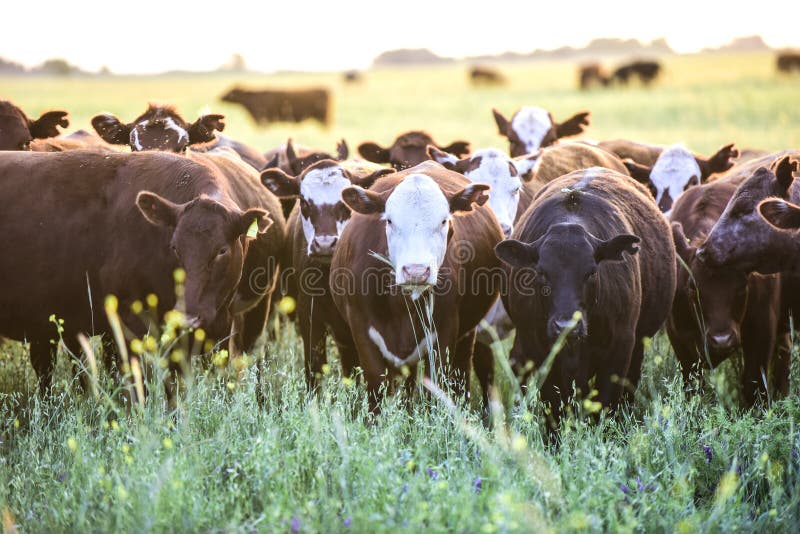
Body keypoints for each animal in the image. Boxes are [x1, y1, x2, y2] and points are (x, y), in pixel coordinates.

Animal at [330, 161, 503, 408]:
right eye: (389, 220)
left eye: (444, 221)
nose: (416, 271)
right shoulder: (361, 328)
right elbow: (377, 386)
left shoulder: (445, 332)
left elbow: (436, 385)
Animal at [495, 168, 676, 423]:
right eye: (541, 272)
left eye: (591, 271)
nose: (566, 326)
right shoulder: (537, 348)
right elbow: (554, 406)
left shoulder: (621, 348)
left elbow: (605, 405)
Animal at [668, 181, 788, 404]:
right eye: (692, 288)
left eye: (742, 286)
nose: (722, 339)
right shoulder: (679, 341)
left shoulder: (763, 331)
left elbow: (754, 384)